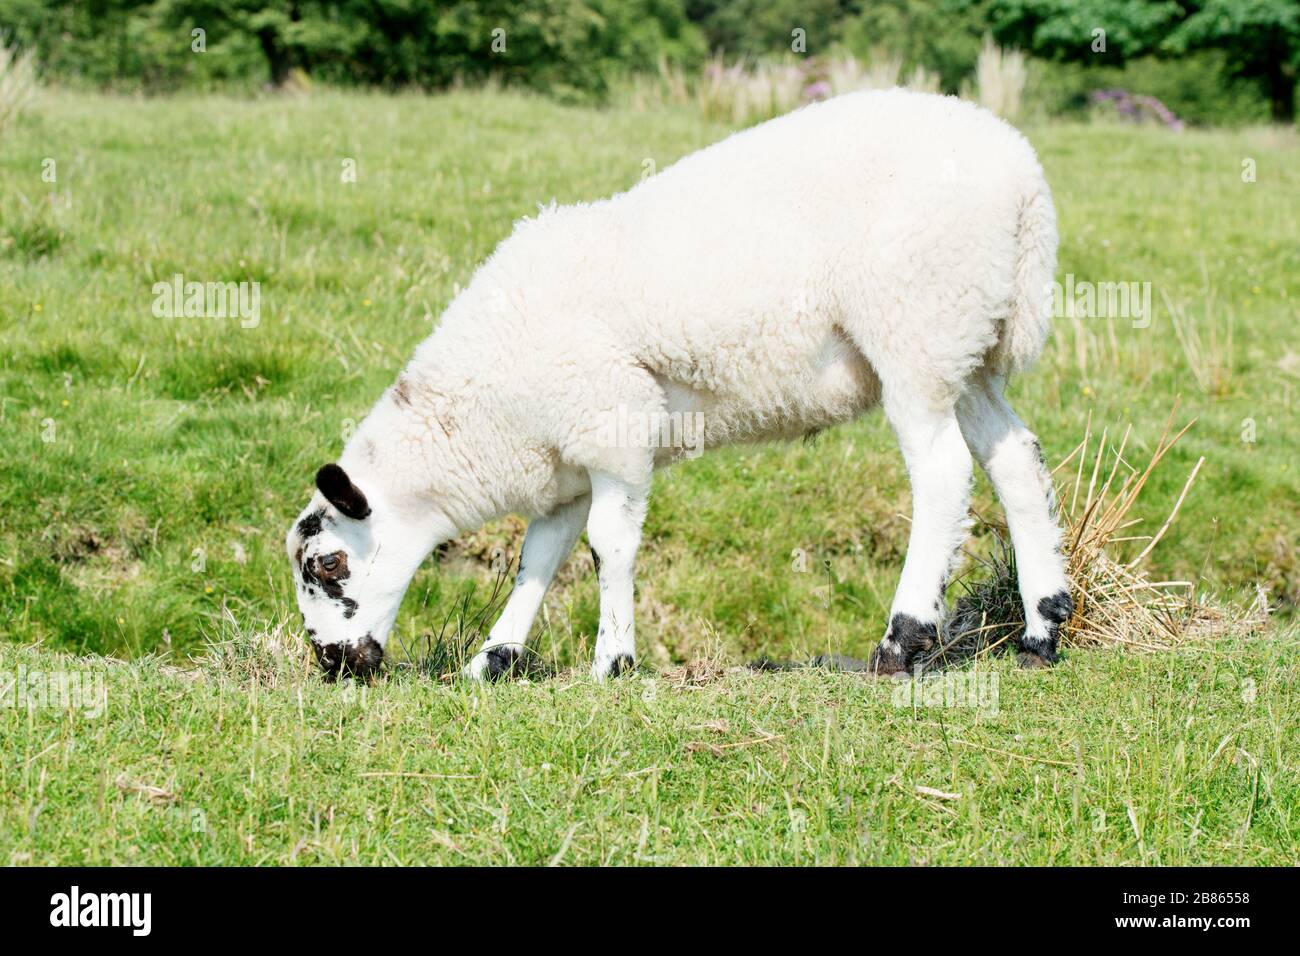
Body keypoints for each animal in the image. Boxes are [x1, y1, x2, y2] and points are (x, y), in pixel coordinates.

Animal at [285, 88, 1072, 682]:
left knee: (942, 473)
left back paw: (903, 641)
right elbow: (539, 557)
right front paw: (495, 660)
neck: (478, 415)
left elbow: (607, 547)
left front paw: (612, 662)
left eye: (328, 565)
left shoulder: (611, 427)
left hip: (917, 329)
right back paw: (1041, 631)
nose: (332, 663)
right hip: (969, 346)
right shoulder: (568, 460)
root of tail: (1024, 178)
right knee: (1015, 459)